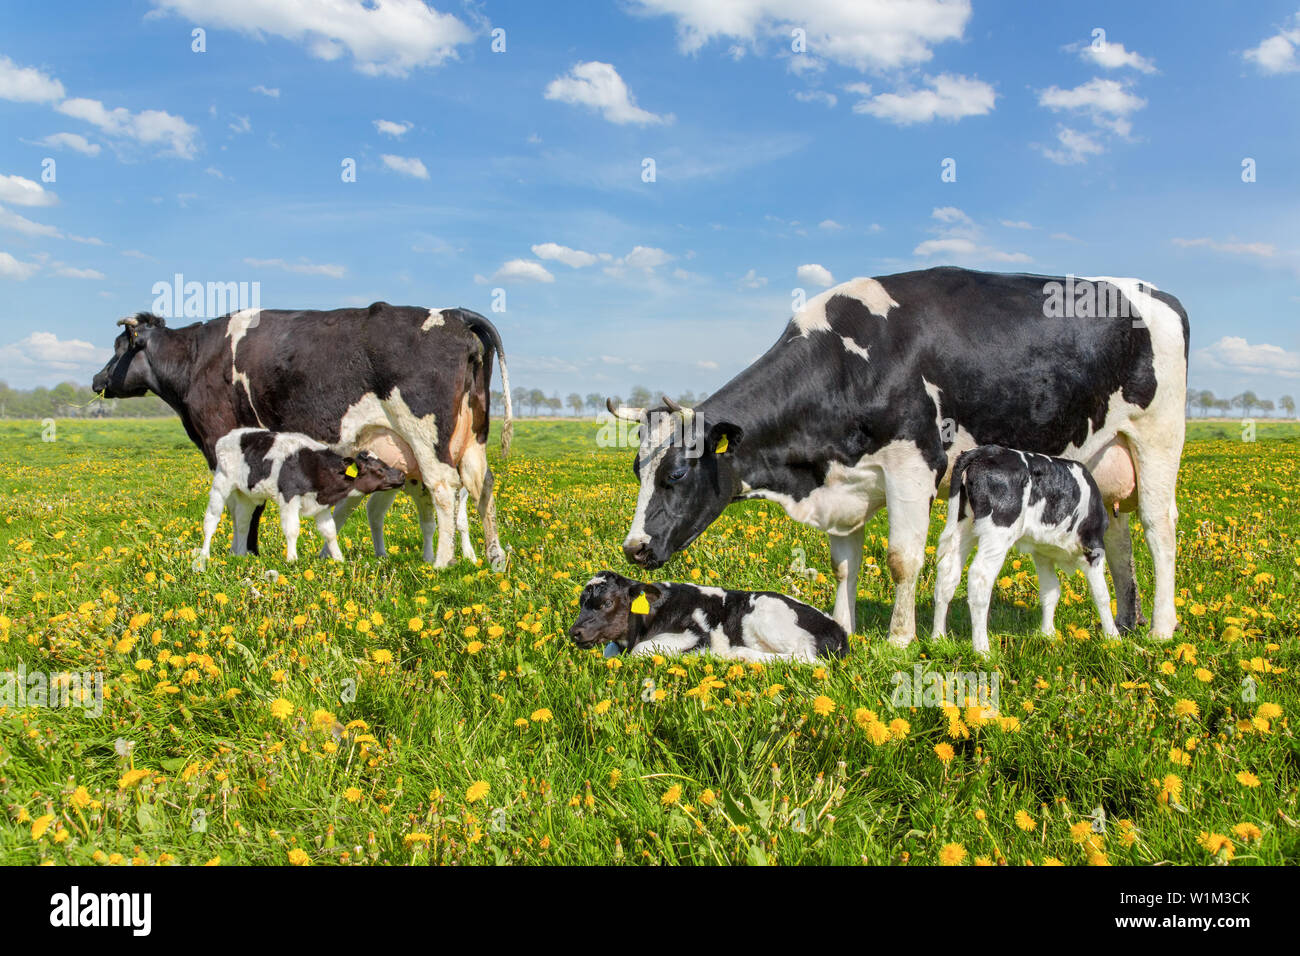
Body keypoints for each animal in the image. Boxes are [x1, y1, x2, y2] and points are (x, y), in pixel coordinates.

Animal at [200, 429, 407, 563]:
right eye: (379, 469)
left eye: (384, 462)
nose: (401, 475)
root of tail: (231, 435)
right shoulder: (289, 497)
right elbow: (292, 529)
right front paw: (292, 560)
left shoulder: (321, 504)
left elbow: (330, 531)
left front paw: (339, 560)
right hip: (221, 483)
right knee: (211, 520)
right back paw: (204, 556)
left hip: (247, 495)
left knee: (243, 523)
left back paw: (242, 555)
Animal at [567, 571, 848, 661]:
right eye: (581, 603)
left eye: (607, 603)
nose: (574, 632)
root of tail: (839, 630)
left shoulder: (696, 633)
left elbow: (641, 650)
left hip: (766, 617)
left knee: (805, 659)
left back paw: (741, 655)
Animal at [932, 445, 1120, 654]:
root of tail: (984, 451)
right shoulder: (1094, 548)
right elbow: (1102, 595)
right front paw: (1113, 639)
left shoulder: (1043, 552)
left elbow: (1050, 592)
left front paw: (1048, 635)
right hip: (997, 532)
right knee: (979, 578)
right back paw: (982, 651)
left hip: (961, 524)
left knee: (947, 573)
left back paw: (938, 639)